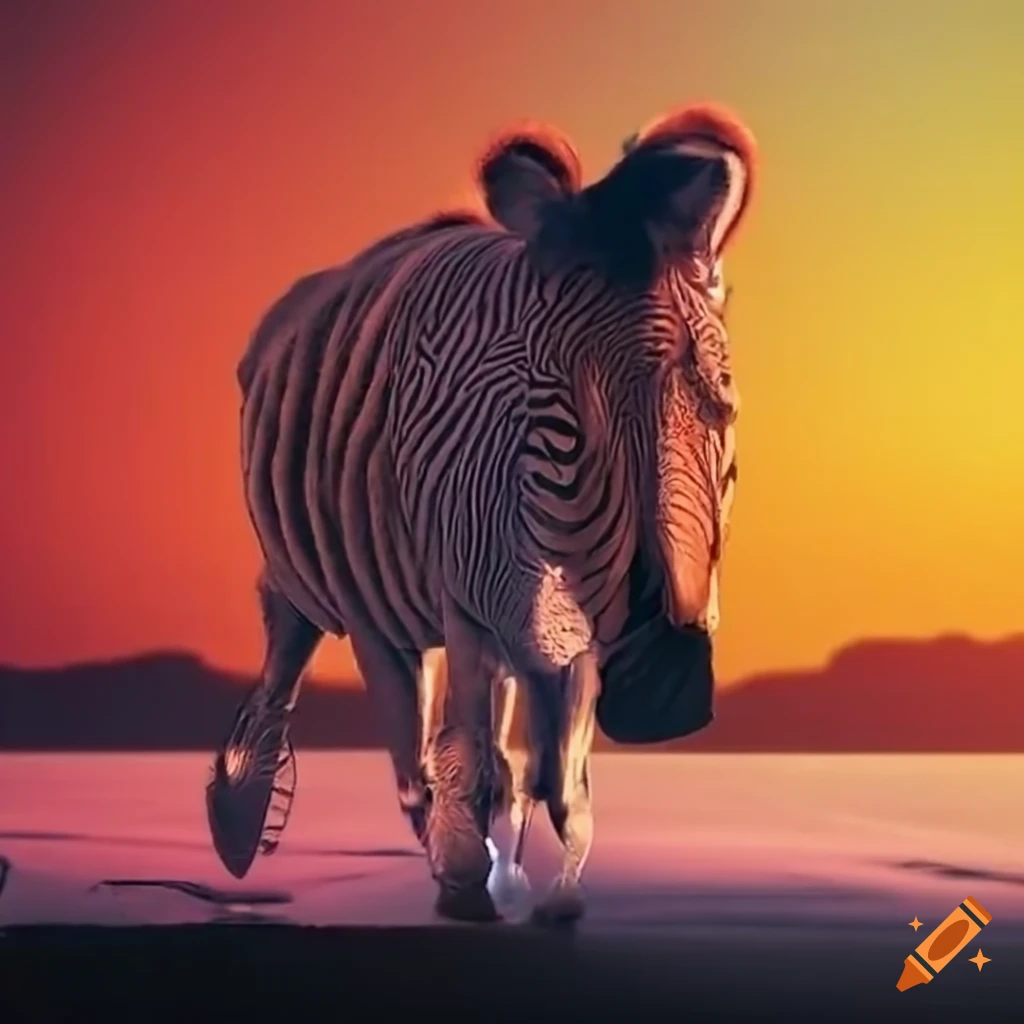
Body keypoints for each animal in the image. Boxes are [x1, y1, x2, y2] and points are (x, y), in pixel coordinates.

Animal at [206, 102, 756, 924]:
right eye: (556, 412)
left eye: (722, 406)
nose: (666, 690)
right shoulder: (476, 590)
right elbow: (469, 750)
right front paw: (468, 881)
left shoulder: (565, 623)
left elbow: (557, 772)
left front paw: (554, 892)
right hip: (354, 586)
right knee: (317, 653)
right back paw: (247, 820)